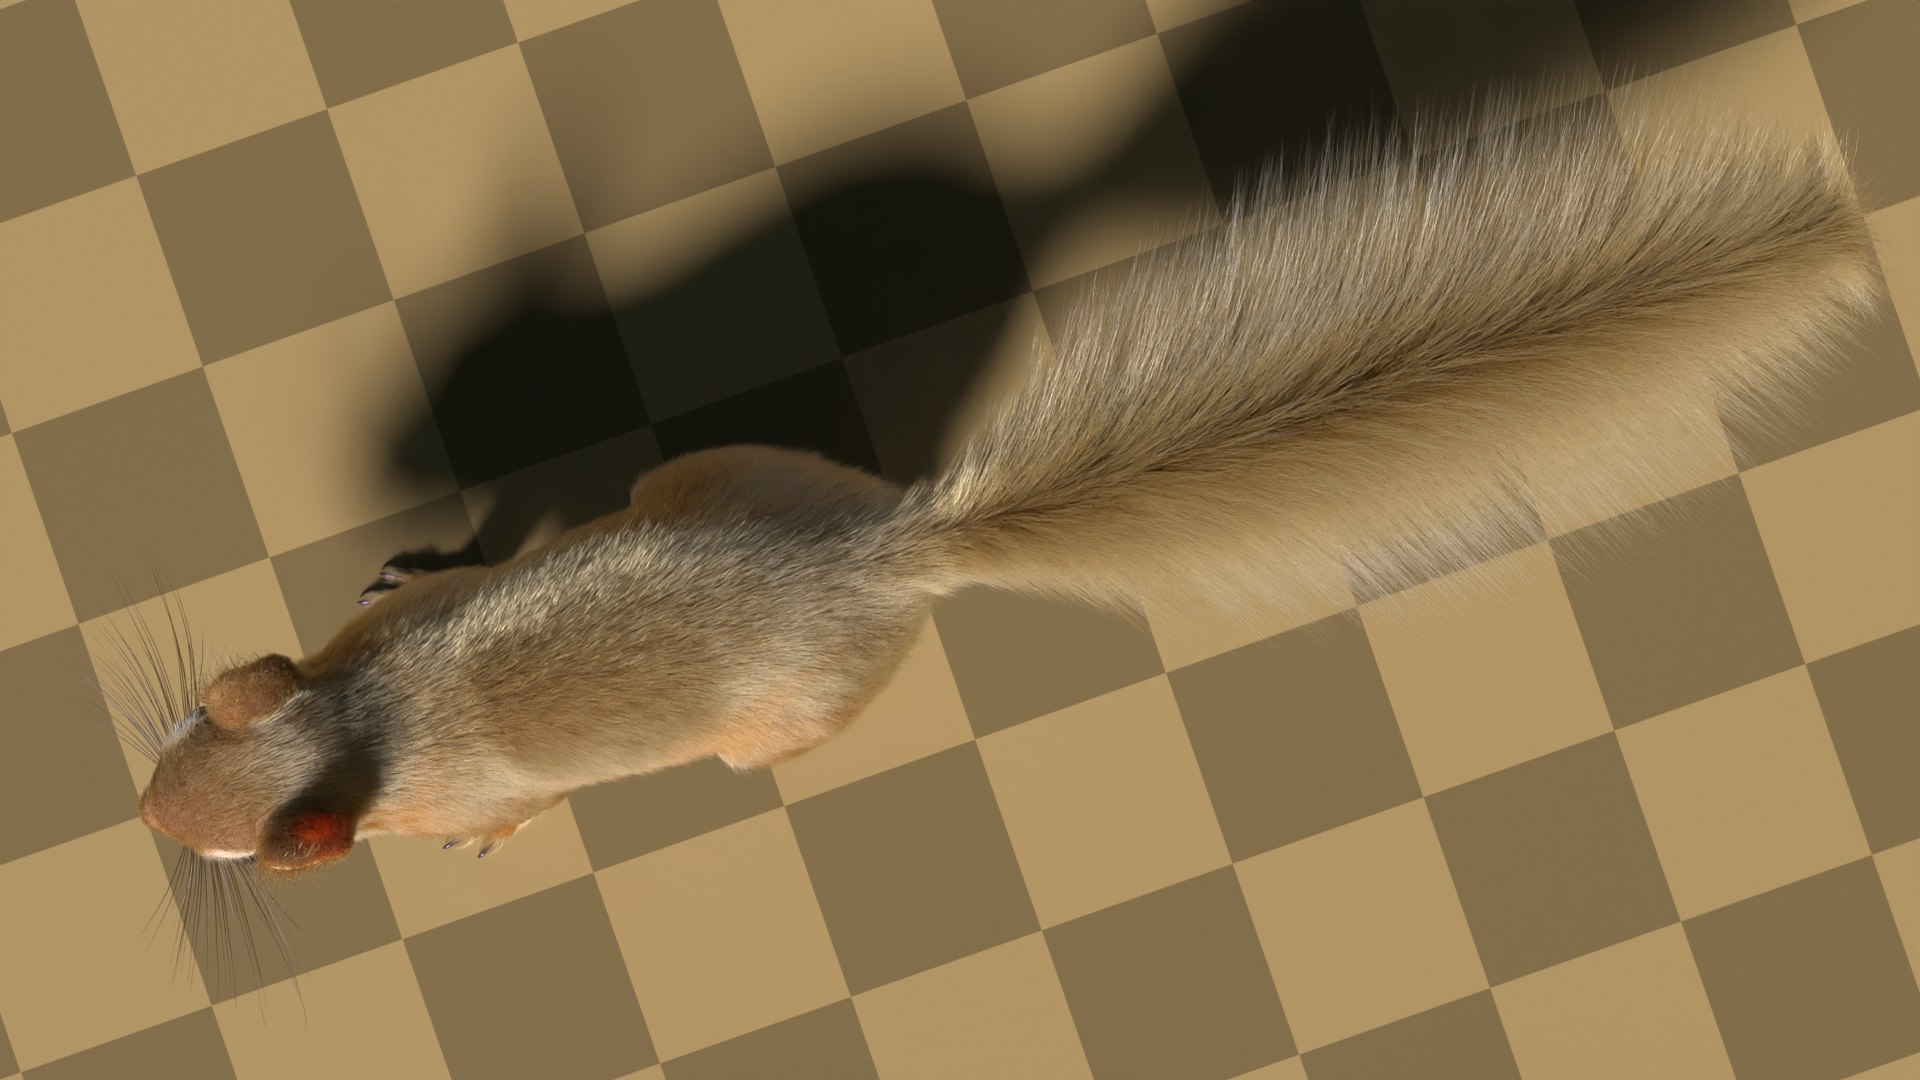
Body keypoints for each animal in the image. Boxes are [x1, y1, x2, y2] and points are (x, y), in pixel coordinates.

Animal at [124, 97, 1879, 873]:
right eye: (205, 706)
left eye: (277, 853)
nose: (141, 815)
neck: (378, 714)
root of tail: (897, 552)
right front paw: (397, 562)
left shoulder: (457, 771)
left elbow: (500, 810)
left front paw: (477, 851)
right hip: (712, 470)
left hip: (780, 707)